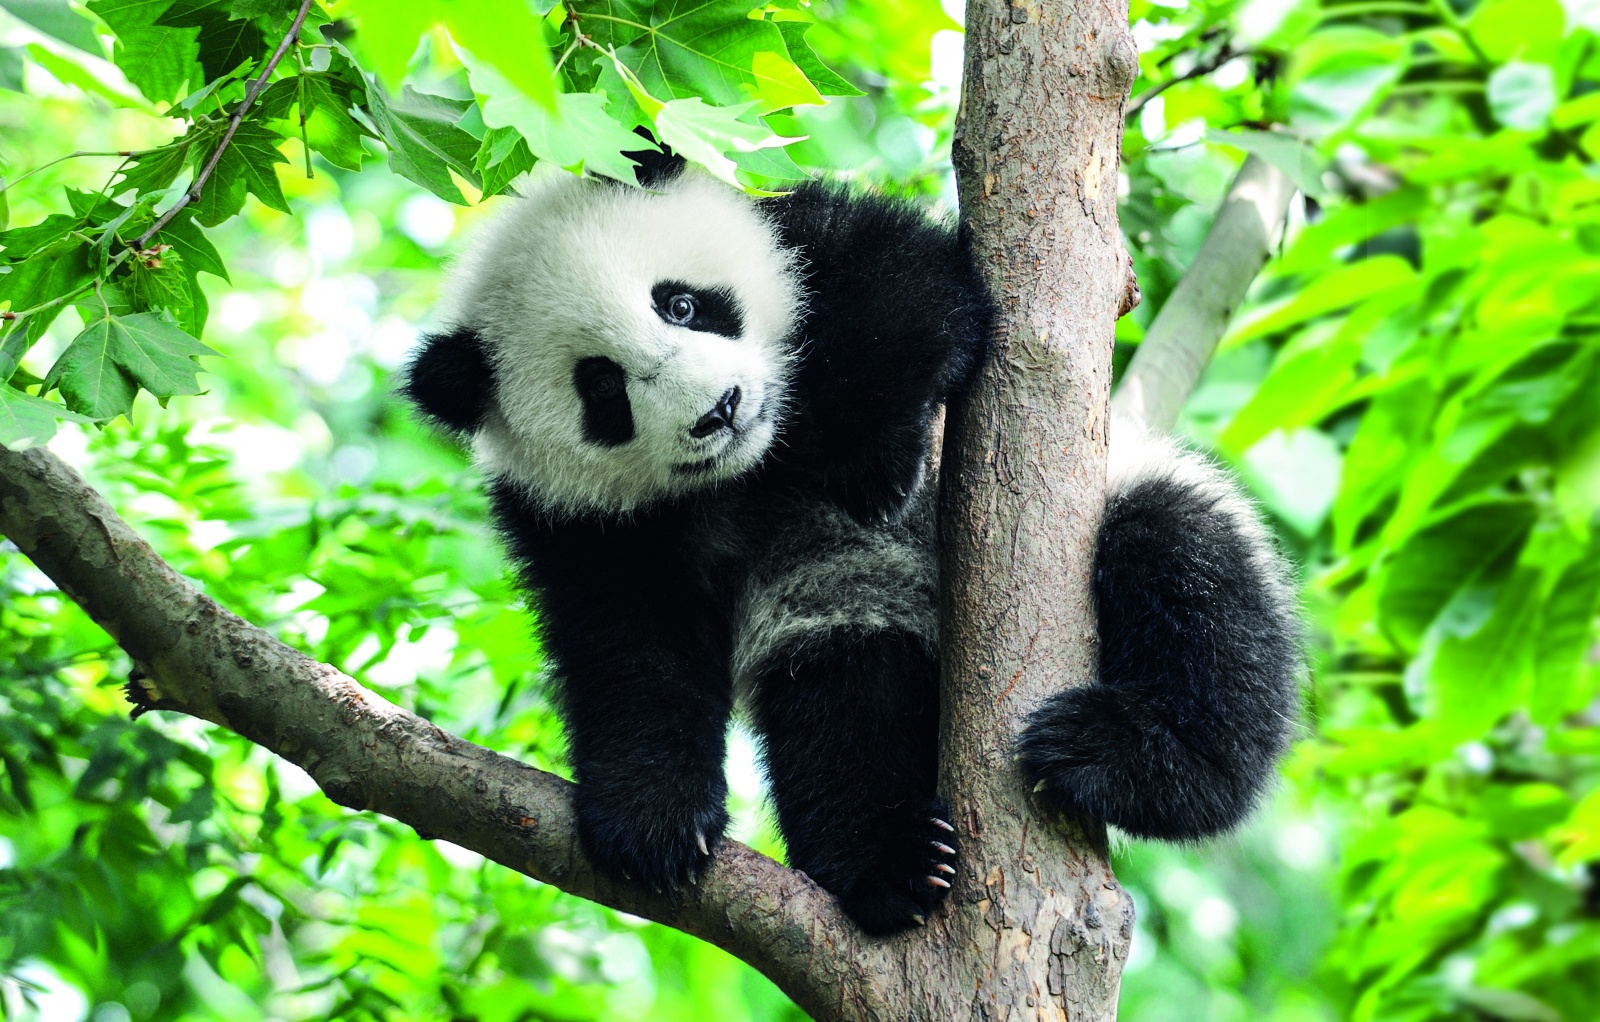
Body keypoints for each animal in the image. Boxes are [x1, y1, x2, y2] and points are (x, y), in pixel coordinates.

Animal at [402, 156, 1302, 936]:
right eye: (602, 388)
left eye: (682, 304)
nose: (720, 409)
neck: (755, 467)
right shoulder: (579, 520)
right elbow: (630, 647)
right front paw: (651, 820)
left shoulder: (808, 236)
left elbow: (910, 293)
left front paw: (872, 462)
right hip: (846, 611)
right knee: (844, 715)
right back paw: (894, 865)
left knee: (1189, 577)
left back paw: (1131, 760)